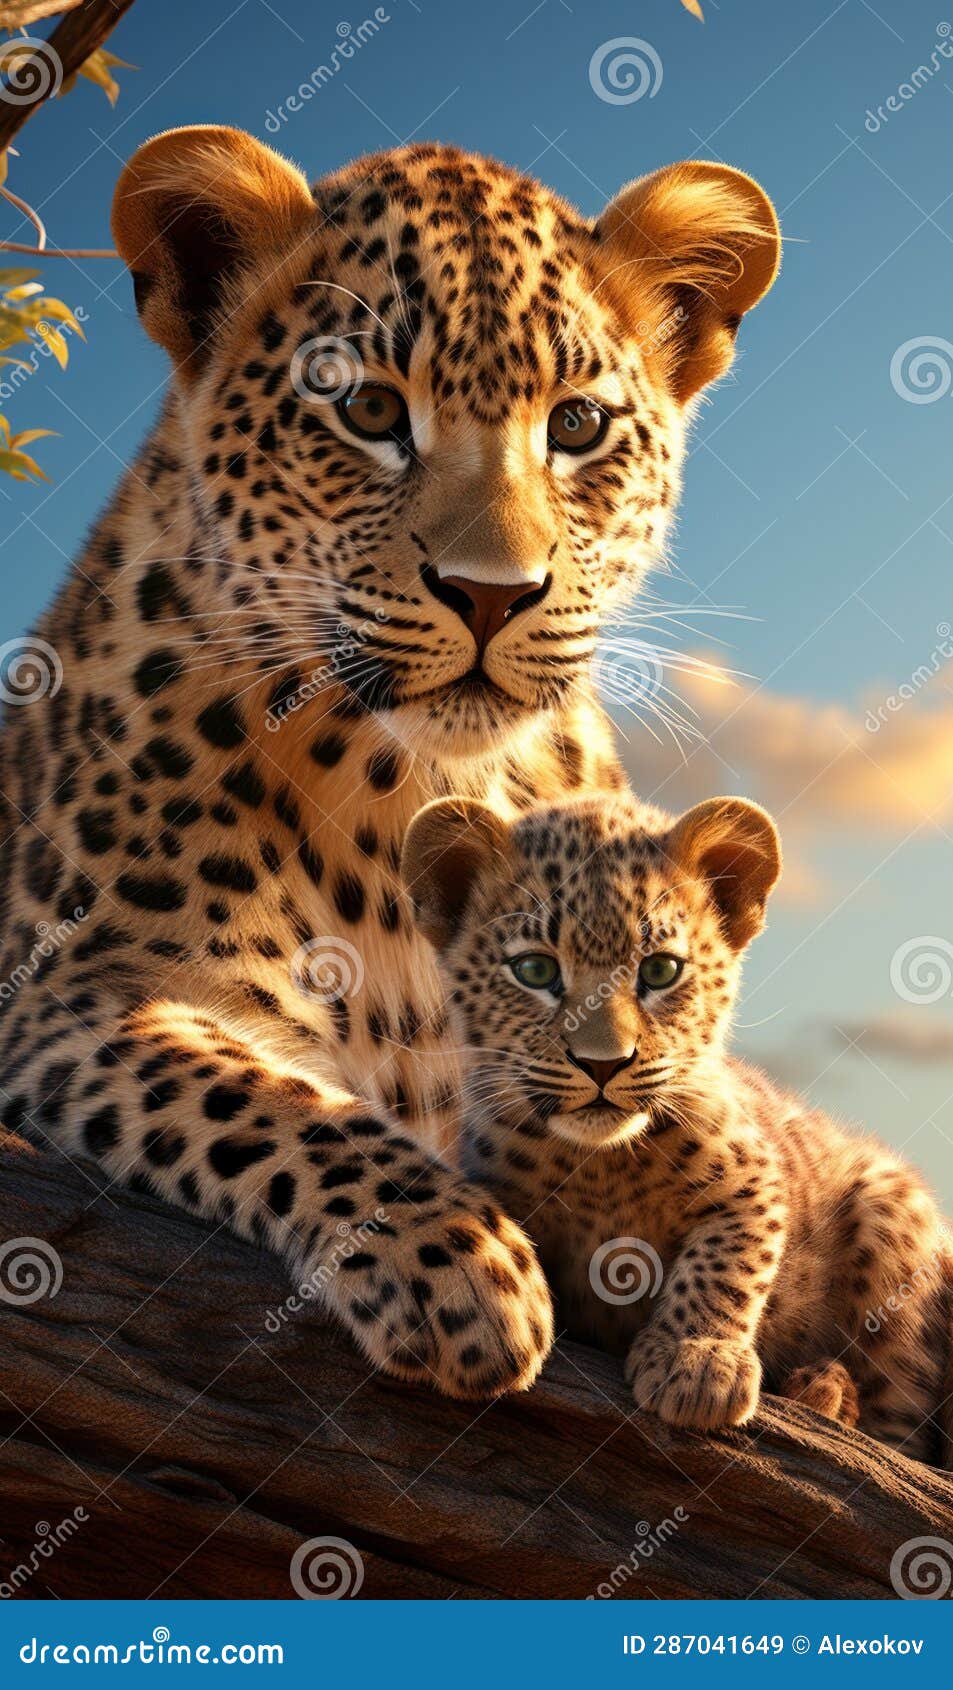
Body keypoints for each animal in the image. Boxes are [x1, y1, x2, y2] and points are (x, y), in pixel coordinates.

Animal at [0, 124, 780, 1400]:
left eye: (576, 426)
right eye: (367, 409)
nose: (490, 594)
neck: (418, 786)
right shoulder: (68, 992)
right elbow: (251, 1093)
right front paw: (457, 1265)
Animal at [401, 789, 951, 1458]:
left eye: (660, 971)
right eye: (534, 971)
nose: (602, 1063)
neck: (599, 1165)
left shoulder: (755, 1178)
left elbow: (728, 1261)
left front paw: (697, 1364)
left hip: (893, 1221)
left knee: (901, 1425)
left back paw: (826, 1392)